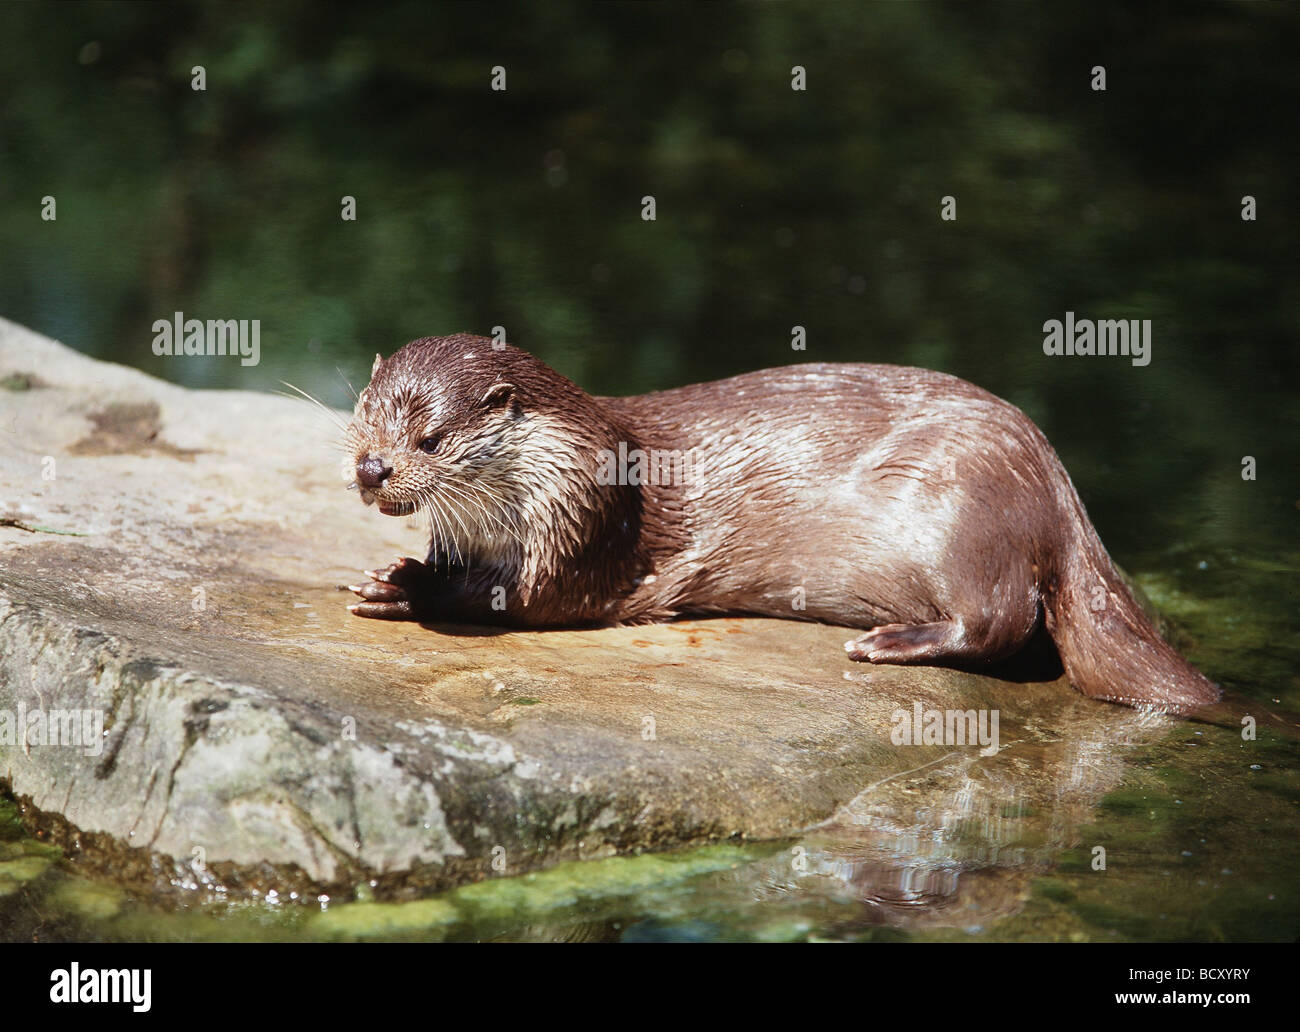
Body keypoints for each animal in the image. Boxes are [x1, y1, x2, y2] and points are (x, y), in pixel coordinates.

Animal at [343, 333, 1220, 714]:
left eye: (431, 438)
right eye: (362, 417)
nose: (372, 469)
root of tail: (1059, 487)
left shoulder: (582, 531)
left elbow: (526, 601)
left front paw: (404, 587)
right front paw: (406, 571)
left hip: (968, 511)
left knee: (999, 621)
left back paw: (888, 642)